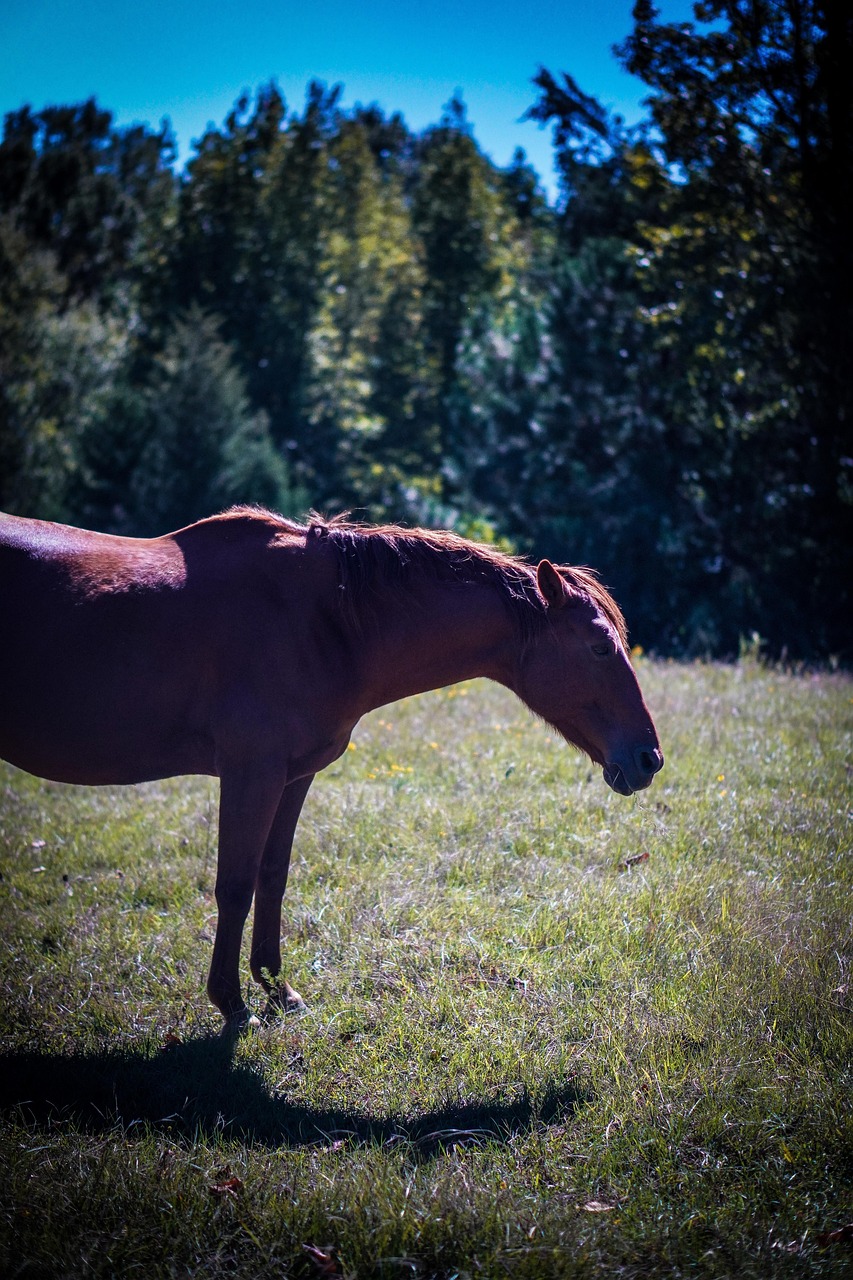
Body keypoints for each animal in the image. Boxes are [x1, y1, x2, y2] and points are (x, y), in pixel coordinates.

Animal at [0, 506, 663, 1029]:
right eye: (599, 647)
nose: (648, 759)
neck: (322, 621)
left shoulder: (293, 776)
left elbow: (271, 877)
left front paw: (277, 990)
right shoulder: (252, 774)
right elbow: (234, 885)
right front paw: (232, 1003)